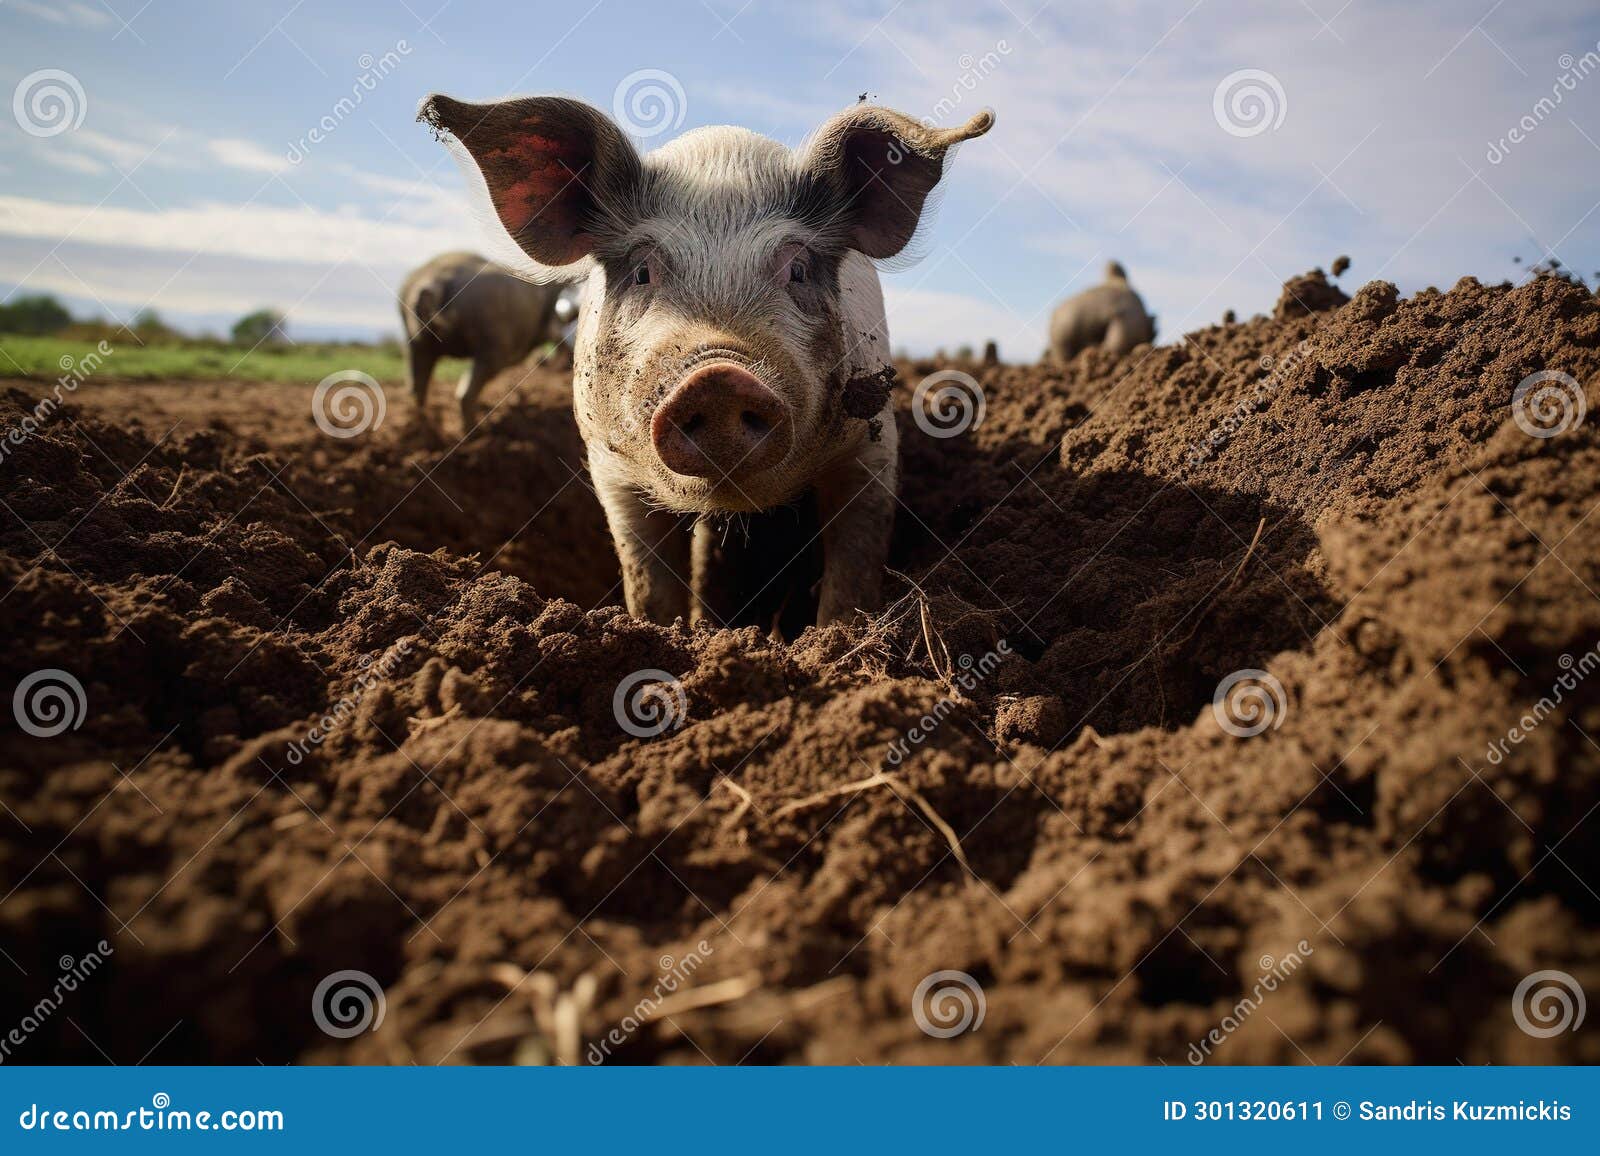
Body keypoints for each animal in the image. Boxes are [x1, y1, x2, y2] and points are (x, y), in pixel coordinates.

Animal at [399, 250, 572, 429]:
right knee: (465, 393)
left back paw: (422, 426)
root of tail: (438, 280)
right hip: (493, 339)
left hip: (413, 340)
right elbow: (558, 336)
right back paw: (478, 431)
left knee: (416, 388)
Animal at [419, 93, 993, 627]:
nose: (718, 376)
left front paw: (835, 641)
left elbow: (854, 570)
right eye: (642, 271)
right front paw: (665, 635)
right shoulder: (609, 466)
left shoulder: (874, 448)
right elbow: (646, 577)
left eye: (799, 269)